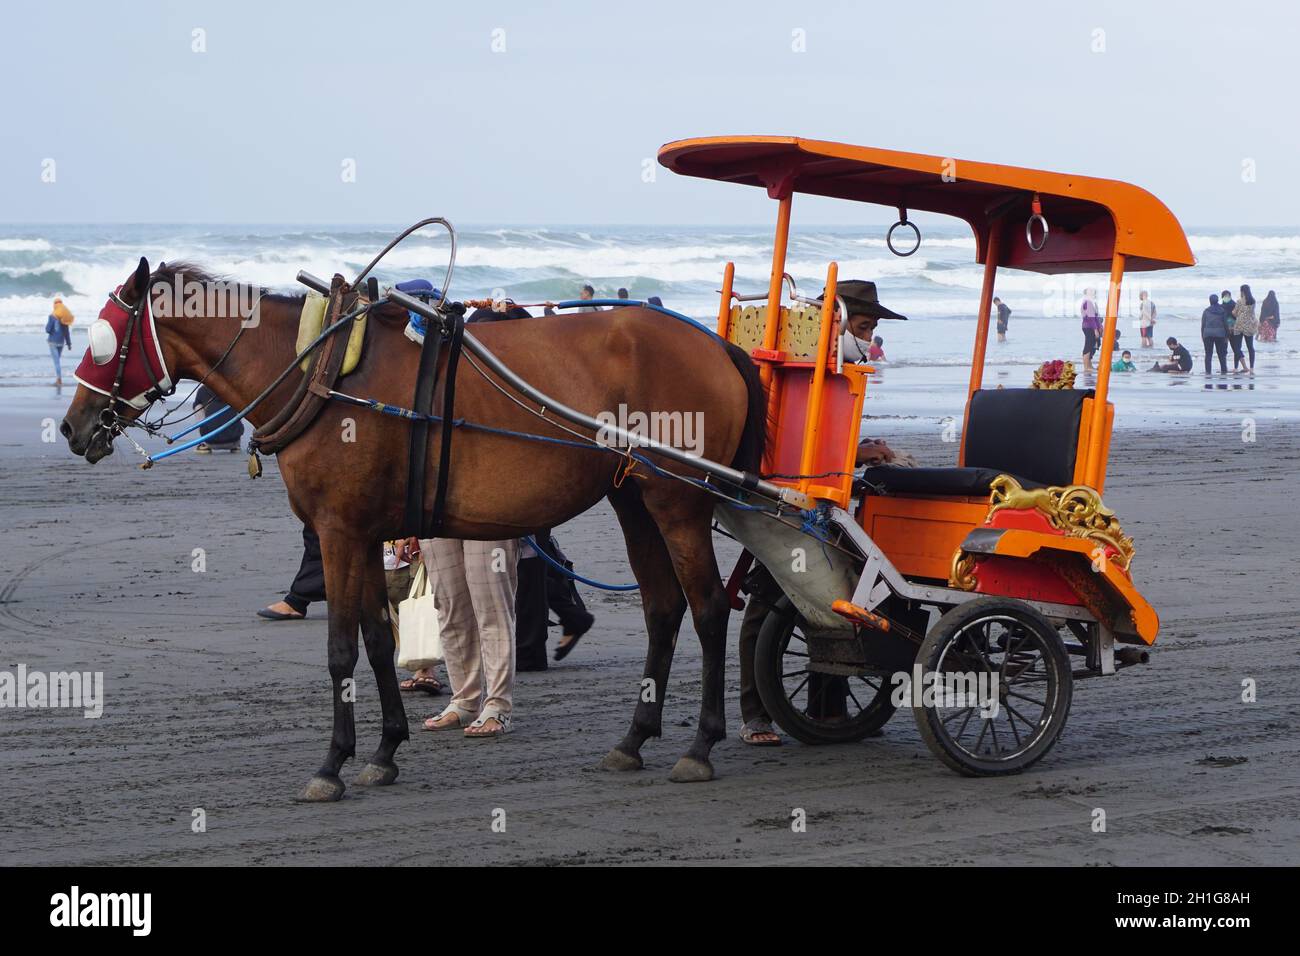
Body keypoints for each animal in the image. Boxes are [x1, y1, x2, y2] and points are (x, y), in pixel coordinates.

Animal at [60, 257, 766, 800]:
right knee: (664, 608)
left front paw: (331, 764)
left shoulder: (339, 532)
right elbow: (377, 640)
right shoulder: (366, 534)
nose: (72, 426)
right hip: (635, 501)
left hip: (678, 503)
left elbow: (340, 648)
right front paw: (383, 750)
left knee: (707, 609)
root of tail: (714, 345)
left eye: (104, 339)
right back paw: (635, 737)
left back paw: (701, 743)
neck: (324, 370)